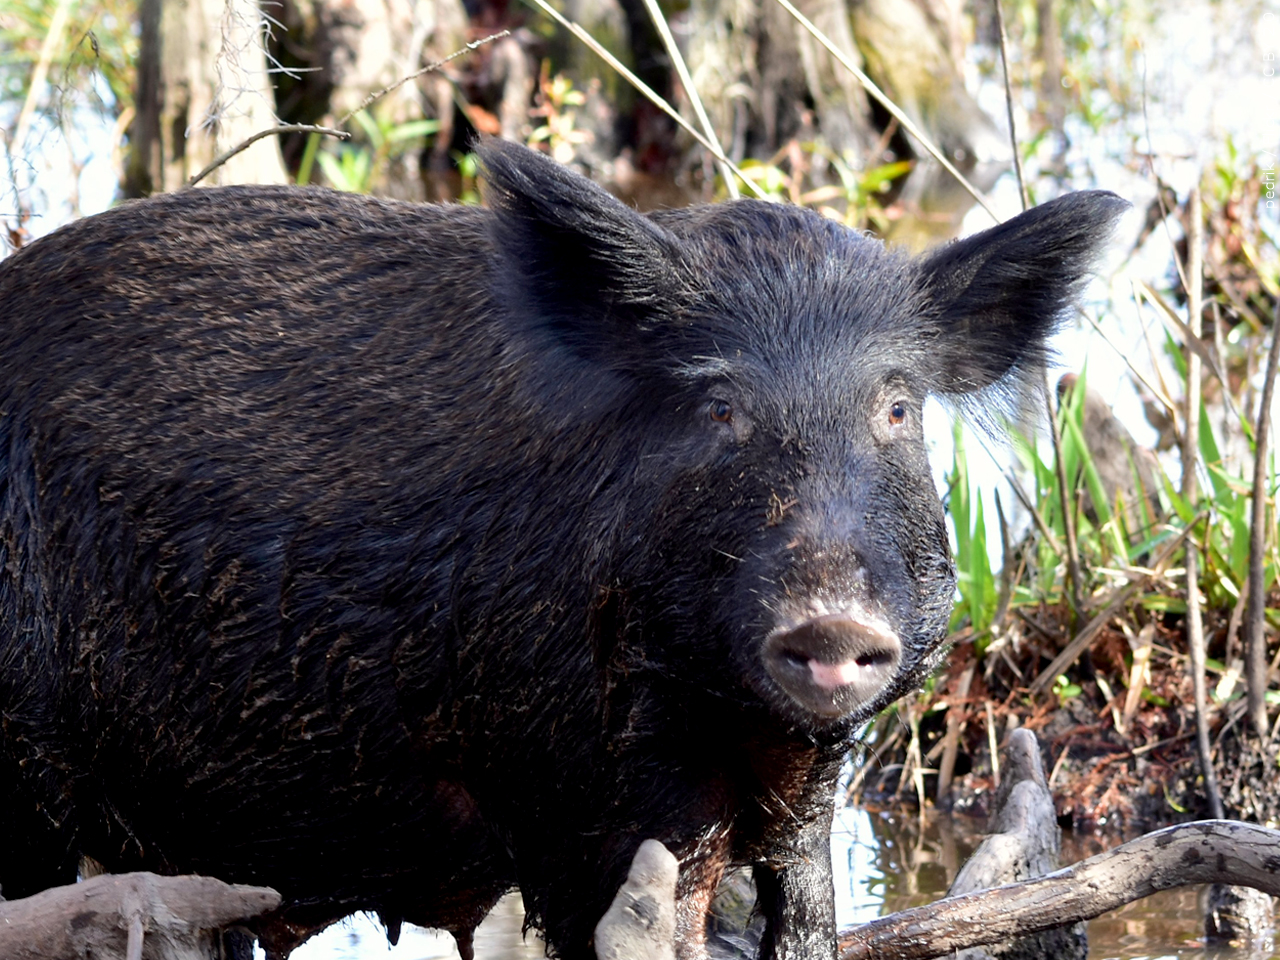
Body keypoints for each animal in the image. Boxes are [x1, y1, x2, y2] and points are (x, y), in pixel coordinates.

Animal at [0, 139, 1126, 960]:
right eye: (719, 407)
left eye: (896, 408)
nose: (830, 620)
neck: (726, 719)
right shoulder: (576, 785)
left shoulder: (804, 793)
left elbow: (805, 920)